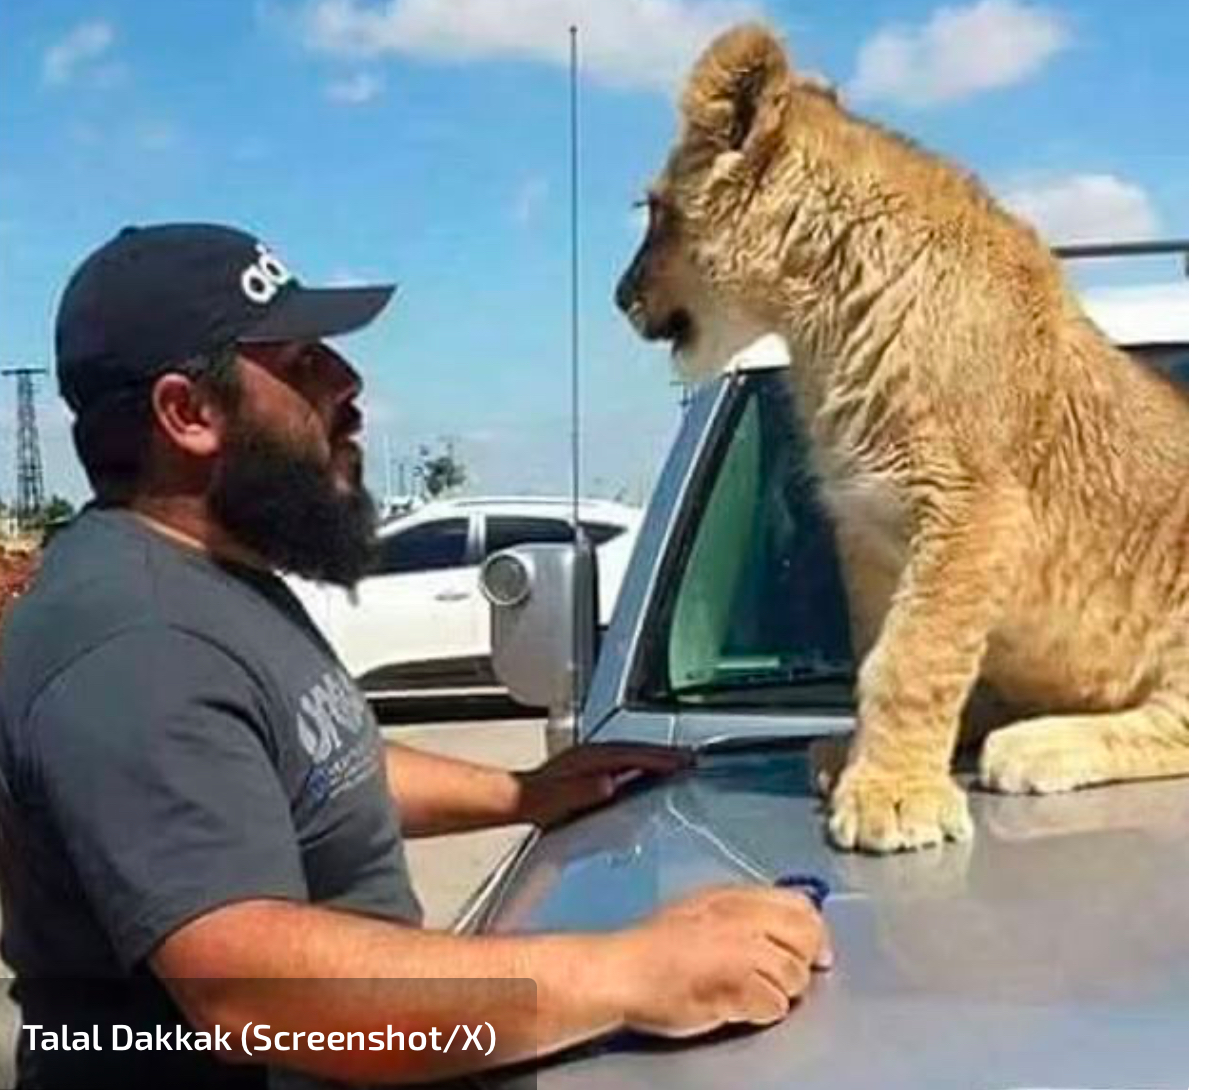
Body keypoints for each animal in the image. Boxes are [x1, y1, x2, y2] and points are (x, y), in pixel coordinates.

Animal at [615, 24, 1189, 854]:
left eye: (657, 213)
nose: (618, 296)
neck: (821, 317)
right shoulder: (864, 520)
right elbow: (879, 648)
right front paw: (865, 759)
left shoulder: (974, 507)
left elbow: (913, 657)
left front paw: (892, 797)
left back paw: (1034, 744)